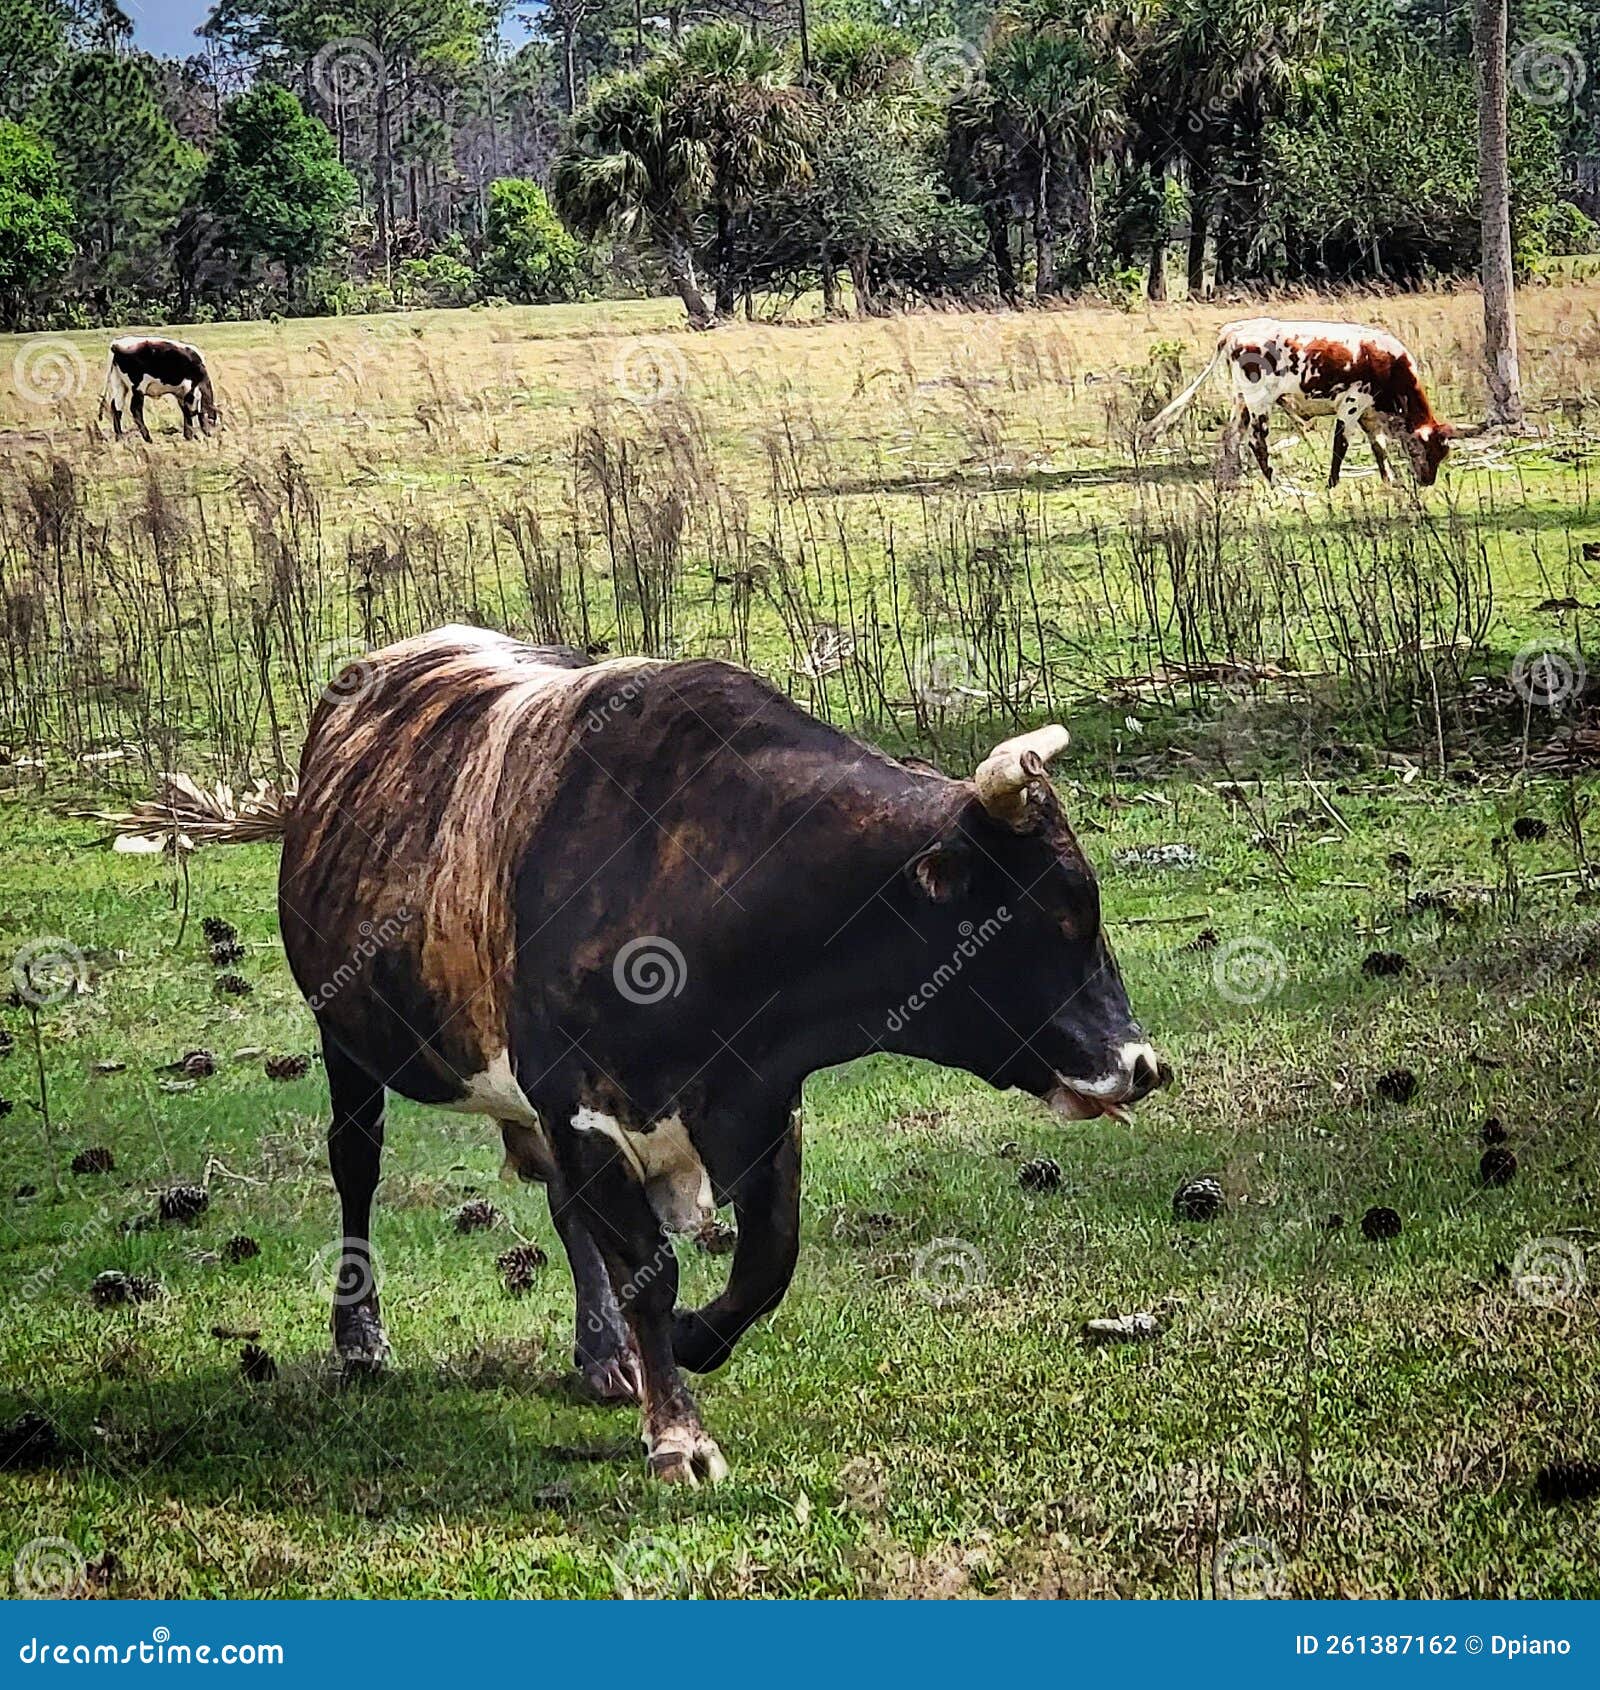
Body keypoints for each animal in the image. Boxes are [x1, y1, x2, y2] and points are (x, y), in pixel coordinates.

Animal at [273, 625, 1167, 1483]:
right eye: (1054, 917)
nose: (1142, 1065)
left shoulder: (762, 1103)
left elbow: (768, 1259)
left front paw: (689, 1337)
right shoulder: (584, 1105)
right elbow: (649, 1267)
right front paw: (679, 1434)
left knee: (566, 1211)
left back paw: (604, 1353)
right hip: (345, 1040)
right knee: (356, 1163)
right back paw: (360, 1335)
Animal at [1142, 318, 1453, 489]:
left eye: (1442, 454)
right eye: (1424, 450)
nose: (1428, 481)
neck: (1390, 364)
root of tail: (1238, 329)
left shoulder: (1370, 414)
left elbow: (1379, 448)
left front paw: (1390, 480)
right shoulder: (1352, 404)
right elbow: (1341, 444)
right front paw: (1332, 483)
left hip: (1241, 400)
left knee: (1231, 437)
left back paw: (1231, 481)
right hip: (1259, 401)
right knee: (1256, 441)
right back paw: (1274, 483)